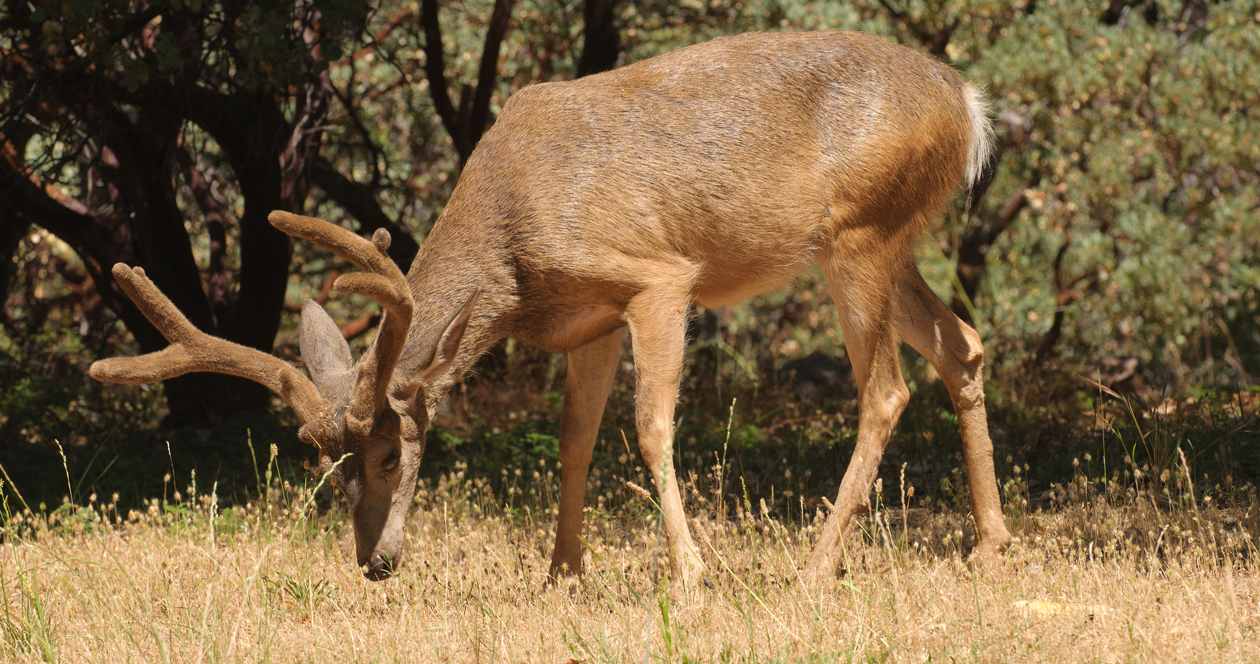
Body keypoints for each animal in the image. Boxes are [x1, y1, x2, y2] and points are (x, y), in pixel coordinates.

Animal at [91, 30, 1013, 585]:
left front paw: (689, 571)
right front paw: (563, 570)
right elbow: (575, 438)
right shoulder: (589, 319)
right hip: (887, 240)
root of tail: (968, 106)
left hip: (859, 234)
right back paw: (991, 544)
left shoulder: (657, 277)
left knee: (886, 390)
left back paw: (816, 566)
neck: (511, 255)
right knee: (962, 343)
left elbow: (649, 425)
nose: (375, 564)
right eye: (331, 469)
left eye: (390, 456)